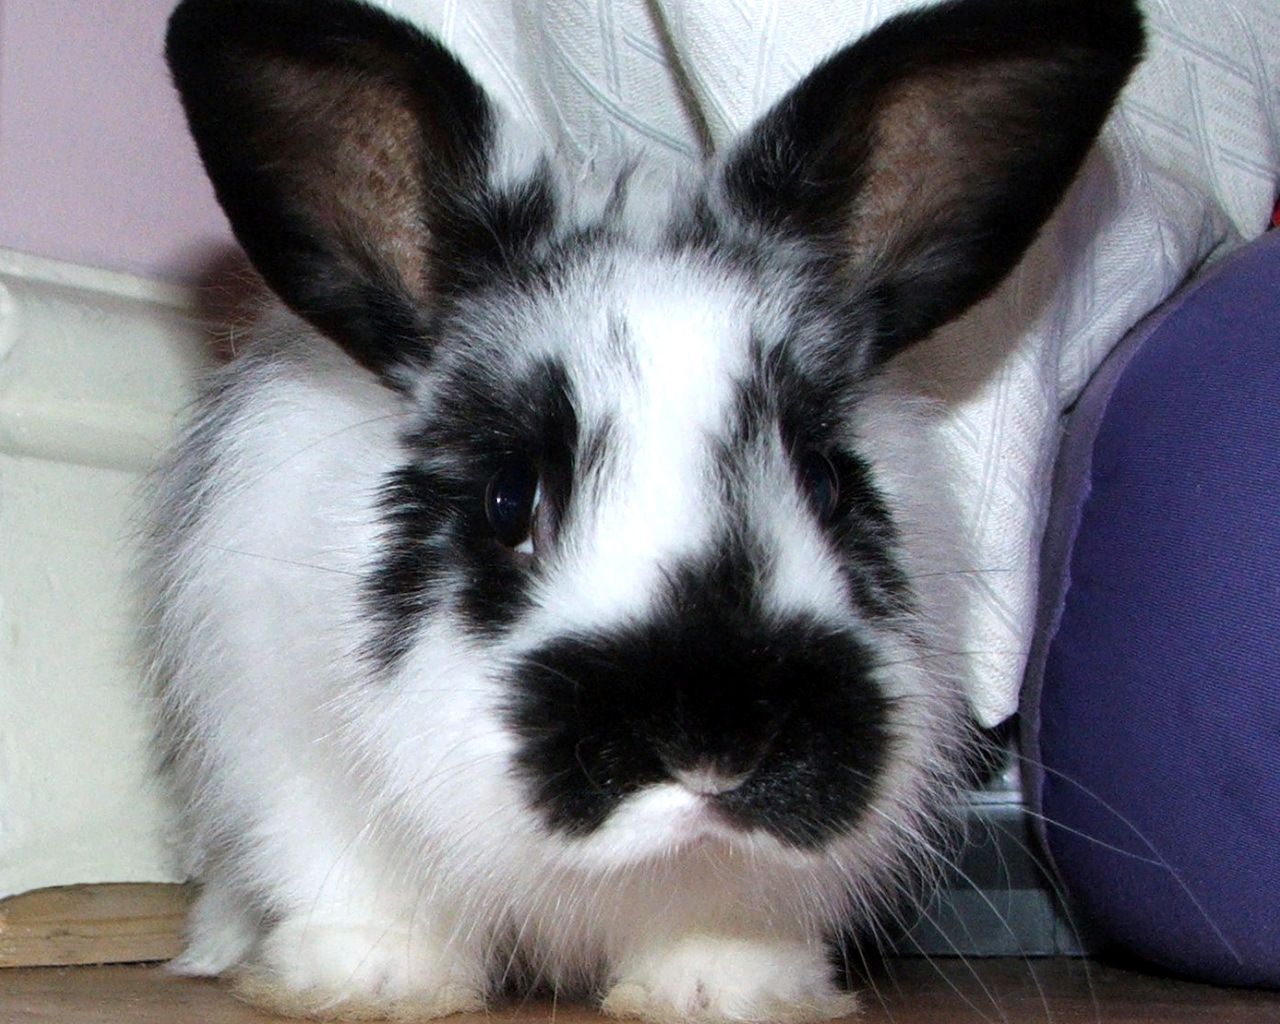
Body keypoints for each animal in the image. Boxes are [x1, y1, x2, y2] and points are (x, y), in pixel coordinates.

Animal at [144, 0, 1143, 1020]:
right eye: (510, 497)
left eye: (828, 481)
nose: (719, 746)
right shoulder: (297, 754)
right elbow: (359, 892)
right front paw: (377, 982)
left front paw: (719, 990)